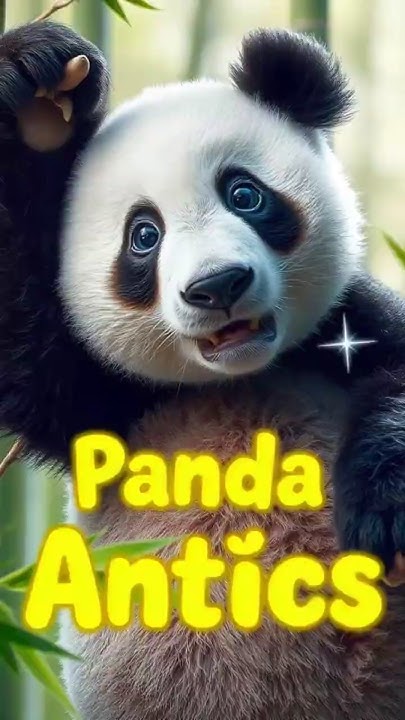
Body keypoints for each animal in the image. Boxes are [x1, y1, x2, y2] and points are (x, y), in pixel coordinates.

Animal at [1, 18, 405, 720]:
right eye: (144, 235)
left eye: (245, 194)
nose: (218, 285)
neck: (237, 375)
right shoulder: (106, 397)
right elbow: (27, 344)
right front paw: (37, 93)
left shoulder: (344, 329)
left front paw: (381, 504)